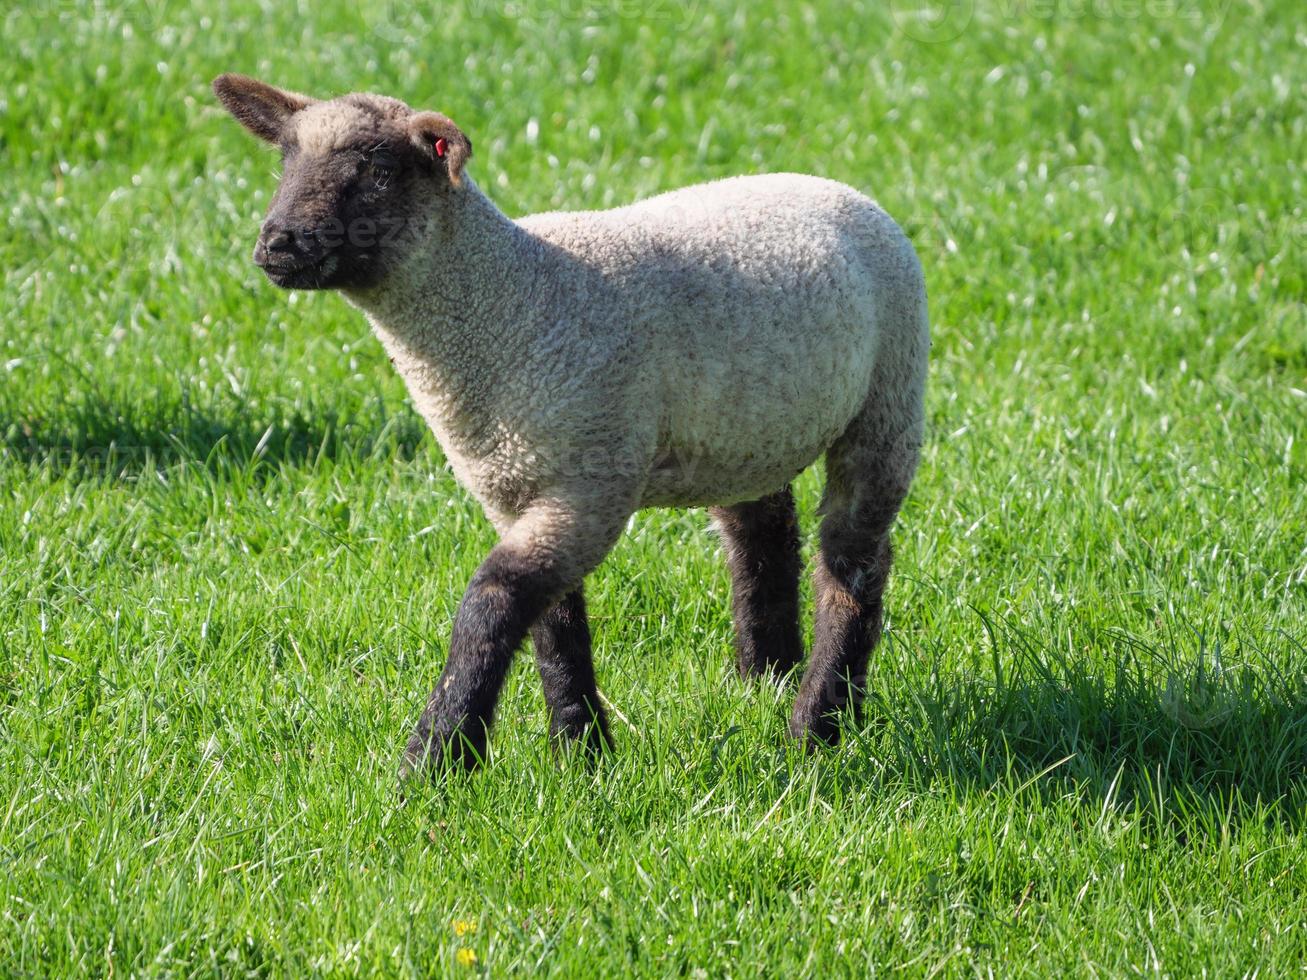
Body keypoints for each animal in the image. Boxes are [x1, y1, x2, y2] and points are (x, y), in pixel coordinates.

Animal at [212, 74, 930, 777]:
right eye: (286, 159)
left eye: (380, 168)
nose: (276, 245)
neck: (507, 299)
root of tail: (836, 188)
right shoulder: (514, 490)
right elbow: (554, 621)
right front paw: (580, 751)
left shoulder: (589, 482)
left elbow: (493, 602)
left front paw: (437, 759)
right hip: (747, 427)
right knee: (764, 536)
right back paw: (766, 676)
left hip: (888, 403)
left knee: (853, 566)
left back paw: (817, 726)